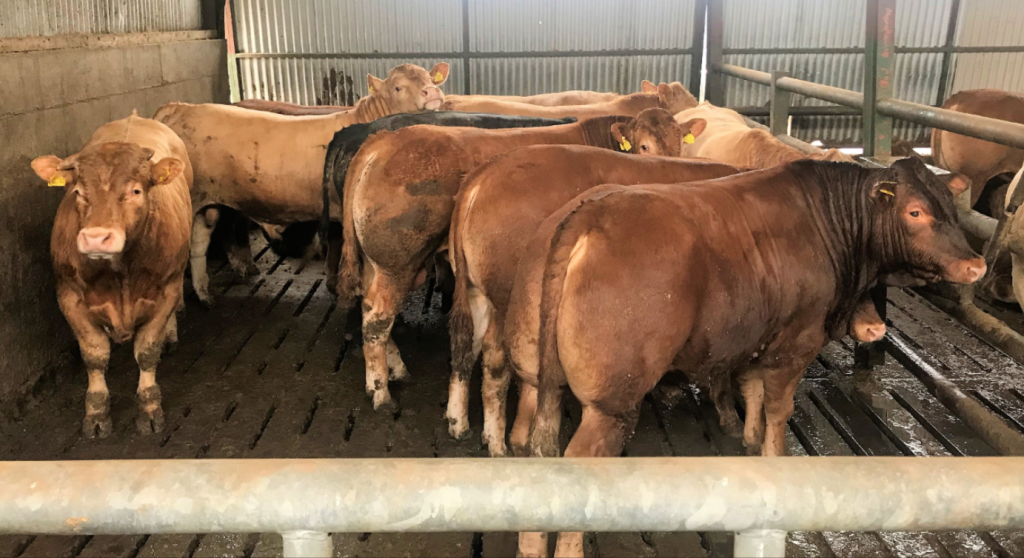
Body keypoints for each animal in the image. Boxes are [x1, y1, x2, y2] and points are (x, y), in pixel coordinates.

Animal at [31, 113, 192, 438]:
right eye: (77, 192)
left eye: (136, 191)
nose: (96, 238)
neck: (120, 275)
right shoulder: (69, 297)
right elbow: (94, 355)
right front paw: (96, 413)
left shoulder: (166, 290)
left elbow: (147, 351)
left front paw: (150, 409)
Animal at [153, 62, 455, 306]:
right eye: (398, 87)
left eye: (431, 78)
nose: (432, 92)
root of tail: (179, 107)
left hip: (209, 202)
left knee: (198, 244)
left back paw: (206, 295)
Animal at [337, 108, 687, 412]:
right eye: (644, 145)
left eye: (680, 143)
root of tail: (383, 140)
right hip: (398, 263)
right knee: (377, 318)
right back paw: (381, 394)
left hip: (376, 263)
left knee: (369, 307)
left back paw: (390, 371)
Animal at [503, 157, 983, 556]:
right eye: (915, 212)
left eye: (951, 208)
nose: (976, 265)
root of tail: (588, 215)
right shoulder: (796, 342)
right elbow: (778, 407)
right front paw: (774, 454)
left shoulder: (758, 336)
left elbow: (751, 389)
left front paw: (749, 439)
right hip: (611, 403)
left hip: (535, 375)